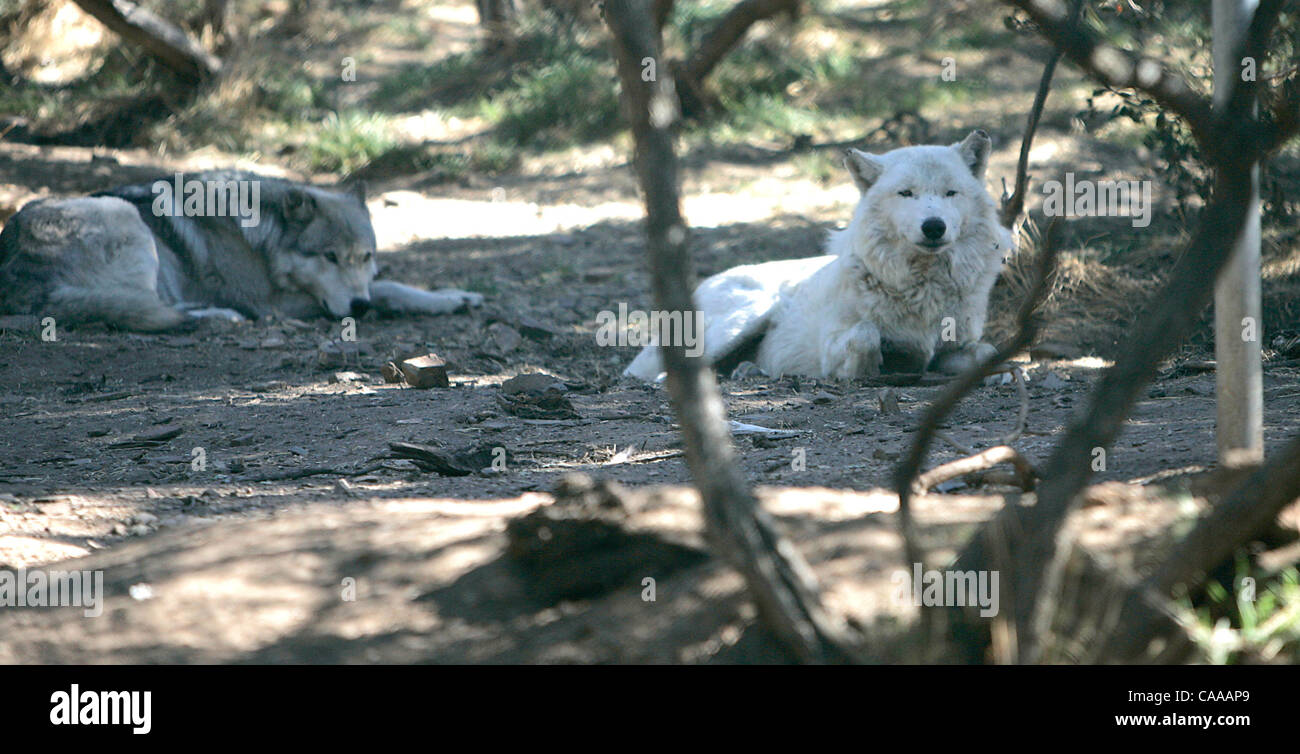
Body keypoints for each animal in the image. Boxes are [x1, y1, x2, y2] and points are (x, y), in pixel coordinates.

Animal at [0, 170, 483, 332]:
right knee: (153, 310)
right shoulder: (275, 302)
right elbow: (386, 290)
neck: (264, 239)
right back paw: (221, 316)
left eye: (365, 256)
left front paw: (456, 297)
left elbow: (392, 285)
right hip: (127, 219)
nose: (358, 308)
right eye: (329, 257)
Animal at [625, 130, 1014, 381]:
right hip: (750, 315)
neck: (922, 286)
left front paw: (1000, 374)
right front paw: (874, 368)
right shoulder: (835, 342)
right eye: (906, 193)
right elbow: (866, 335)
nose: (934, 227)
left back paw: (748, 371)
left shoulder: (954, 346)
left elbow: (987, 351)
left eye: (951, 193)